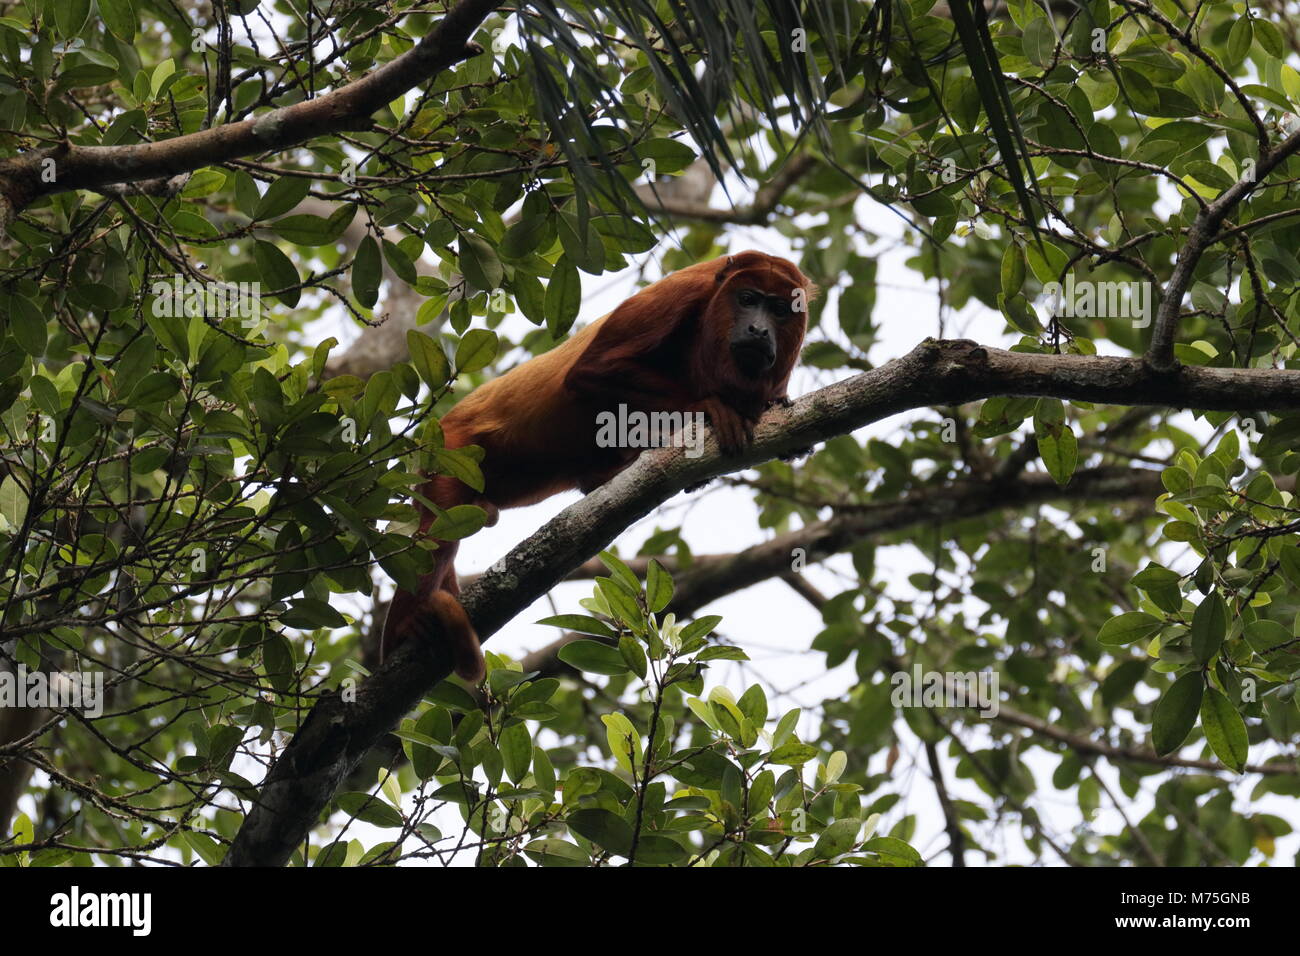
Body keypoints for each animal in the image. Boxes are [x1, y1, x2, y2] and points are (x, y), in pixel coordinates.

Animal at [382, 250, 816, 681]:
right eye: (747, 299)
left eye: (780, 309)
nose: (758, 329)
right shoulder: (680, 291)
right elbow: (593, 371)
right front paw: (712, 406)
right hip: (450, 454)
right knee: (435, 531)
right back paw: (407, 623)